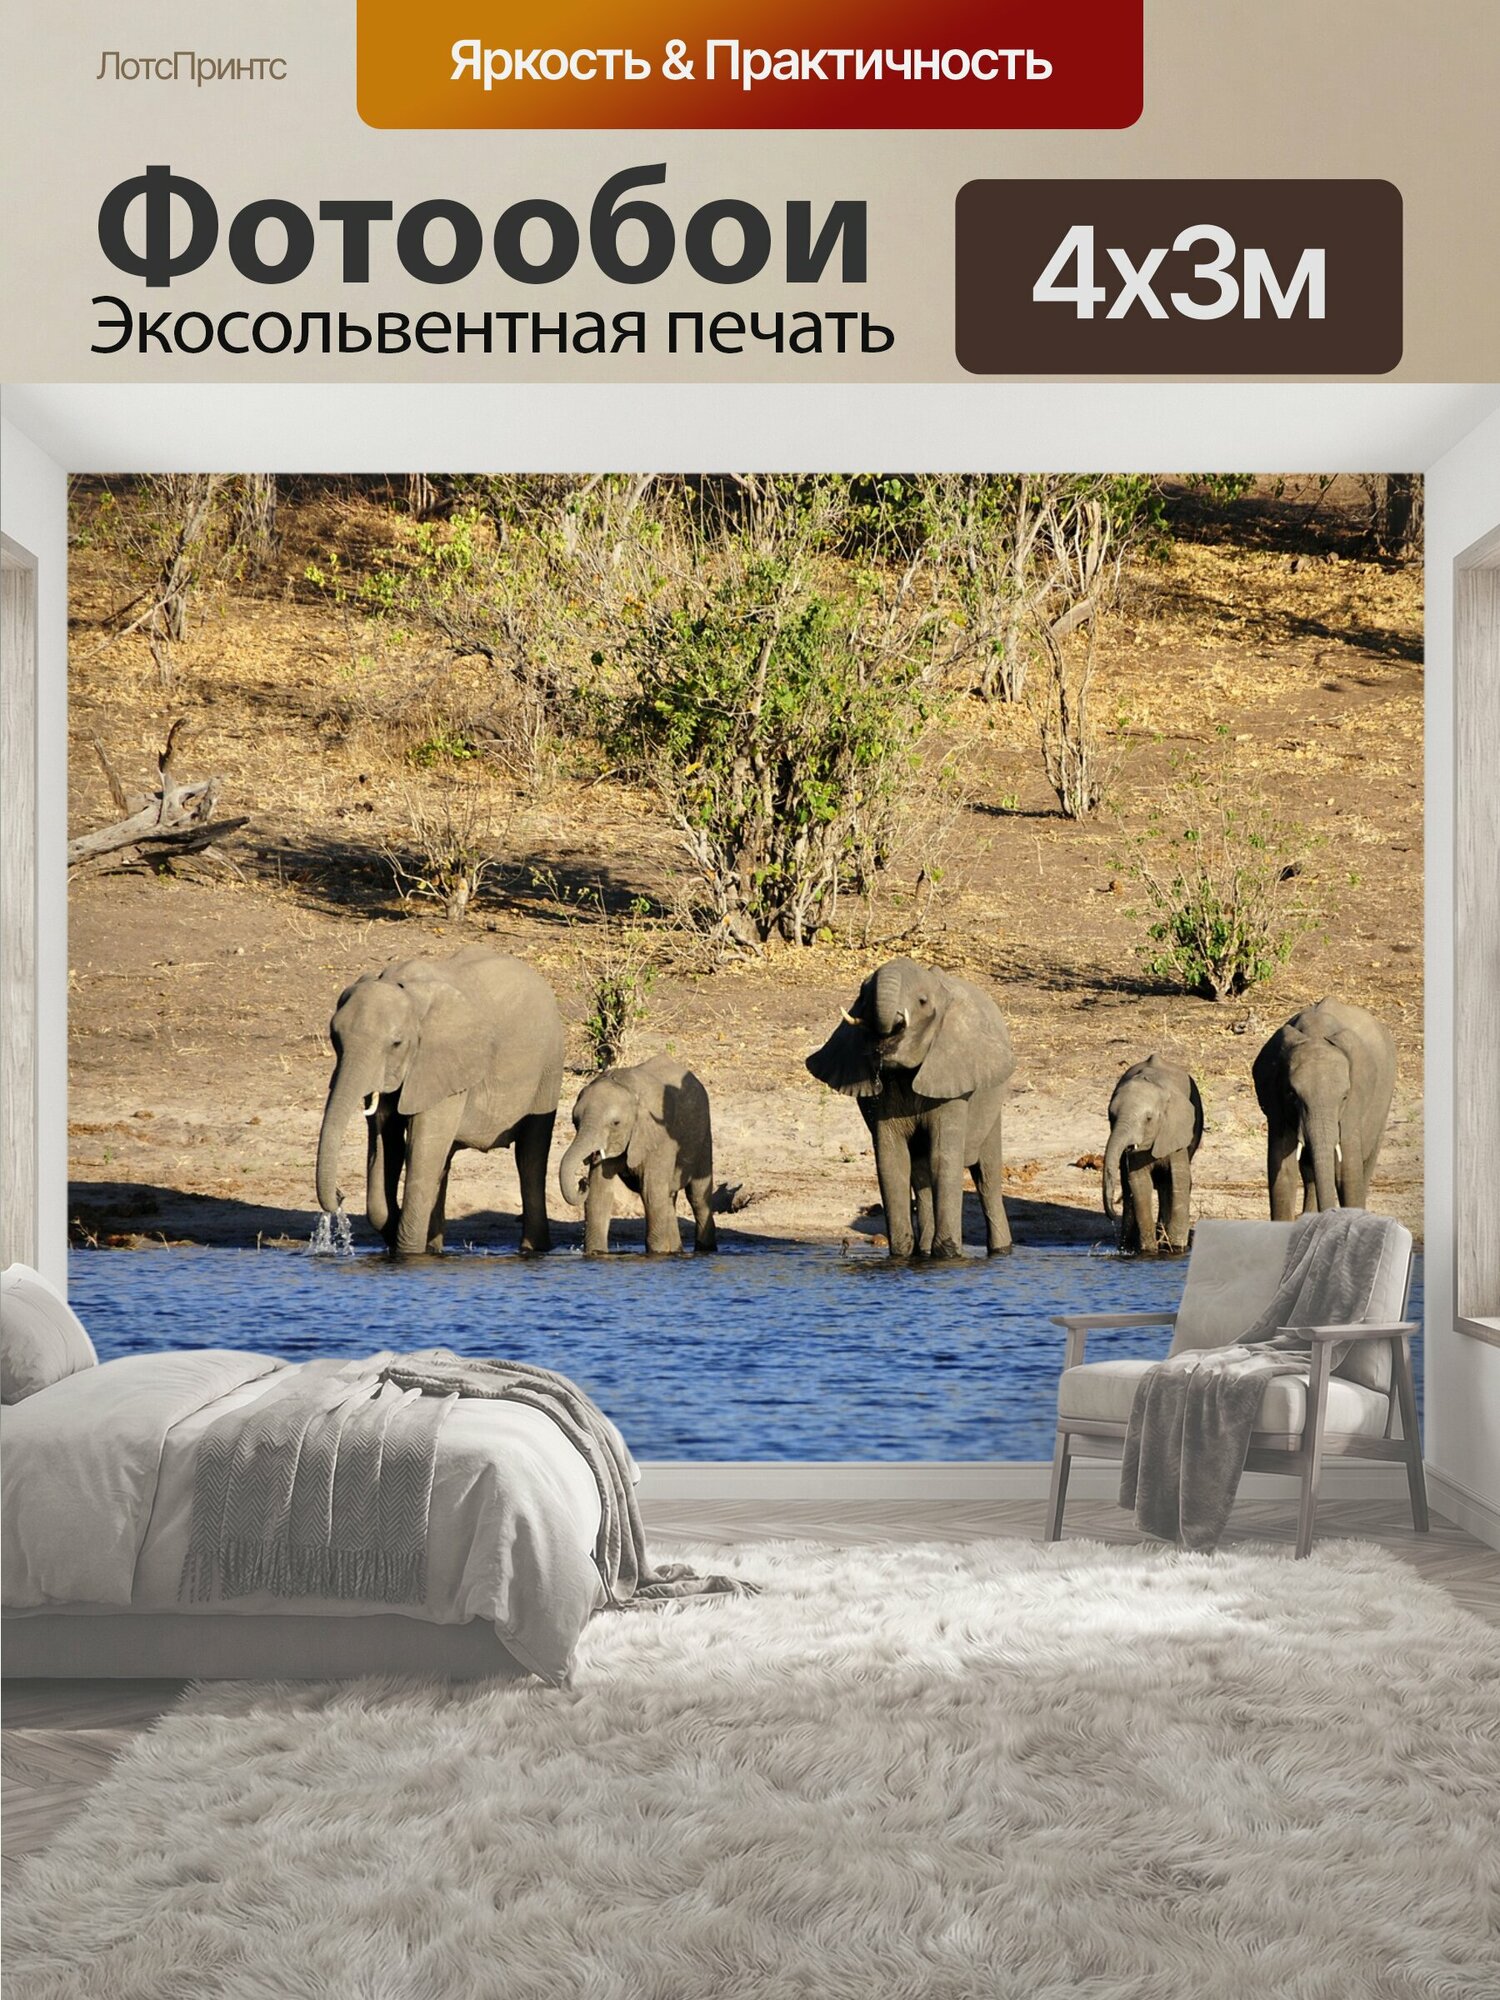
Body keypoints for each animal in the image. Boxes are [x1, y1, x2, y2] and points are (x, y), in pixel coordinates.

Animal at [315, 945, 564, 1257]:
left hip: (547, 1070)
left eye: (396, 1043)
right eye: (335, 1038)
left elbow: (421, 1149)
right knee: (443, 1160)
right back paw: (435, 1250)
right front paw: (399, 1237)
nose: (340, 1195)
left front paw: (408, 1253)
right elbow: (387, 1144)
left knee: (530, 1156)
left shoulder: (442, 1061)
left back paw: (534, 1251)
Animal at [558, 1057, 718, 1255]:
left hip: (703, 1136)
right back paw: (676, 1251)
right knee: (668, 1198)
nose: (581, 1182)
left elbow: (650, 1192)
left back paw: (705, 1251)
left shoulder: (659, 1135)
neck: (627, 1088)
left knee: (697, 1196)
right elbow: (599, 1193)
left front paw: (656, 1254)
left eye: (615, 1123)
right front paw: (596, 1253)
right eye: (575, 1121)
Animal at [807, 957, 1015, 1259]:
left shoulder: (951, 1084)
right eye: (862, 994)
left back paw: (1000, 1251)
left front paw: (947, 1255)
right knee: (920, 1177)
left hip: (993, 1104)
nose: (885, 1036)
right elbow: (892, 1162)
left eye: (922, 1002)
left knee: (987, 1178)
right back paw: (923, 1251)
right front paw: (901, 1255)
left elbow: (943, 1159)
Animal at [1103, 1056, 1204, 1257]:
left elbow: (1179, 1180)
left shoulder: (1176, 1131)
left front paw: (1177, 1248)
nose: (1111, 1213)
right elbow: (1139, 1183)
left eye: (1148, 1119)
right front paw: (1148, 1251)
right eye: (1111, 1117)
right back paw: (1128, 1247)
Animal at [1251, 998, 1396, 1219]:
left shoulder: (1353, 1104)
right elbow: (1283, 1170)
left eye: (1344, 1097)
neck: (1316, 1032)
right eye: (1292, 1094)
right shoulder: (1275, 1101)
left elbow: (1347, 1170)